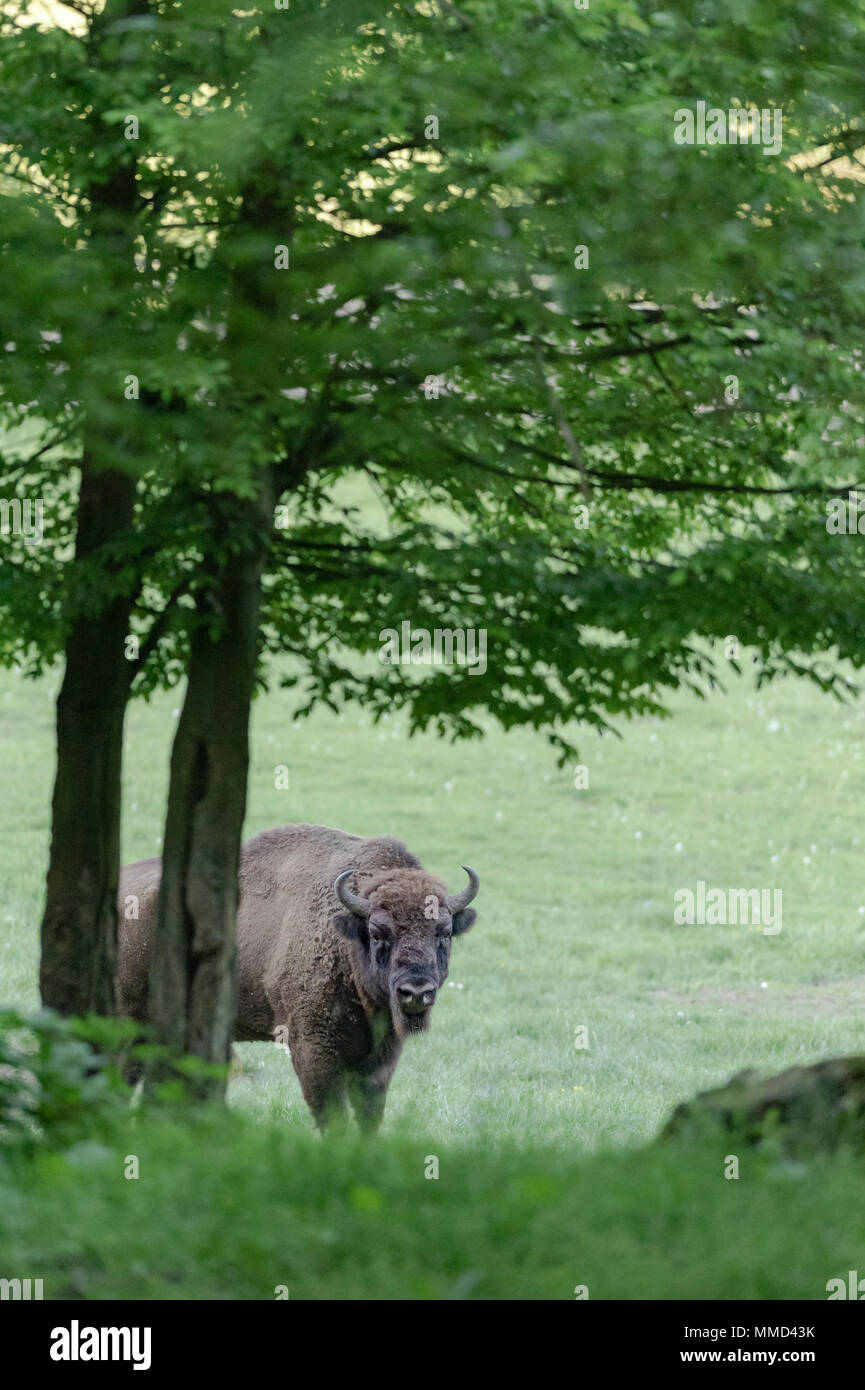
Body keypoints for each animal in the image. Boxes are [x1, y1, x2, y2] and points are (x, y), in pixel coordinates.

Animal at [117, 823, 479, 1131]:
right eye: (378, 933)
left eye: (444, 933)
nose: (416, 992)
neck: (344, 941)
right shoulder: (312, 1047)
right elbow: (333, 1115)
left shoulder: (381, 1055)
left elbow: (368, 1115)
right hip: (132, 1023)